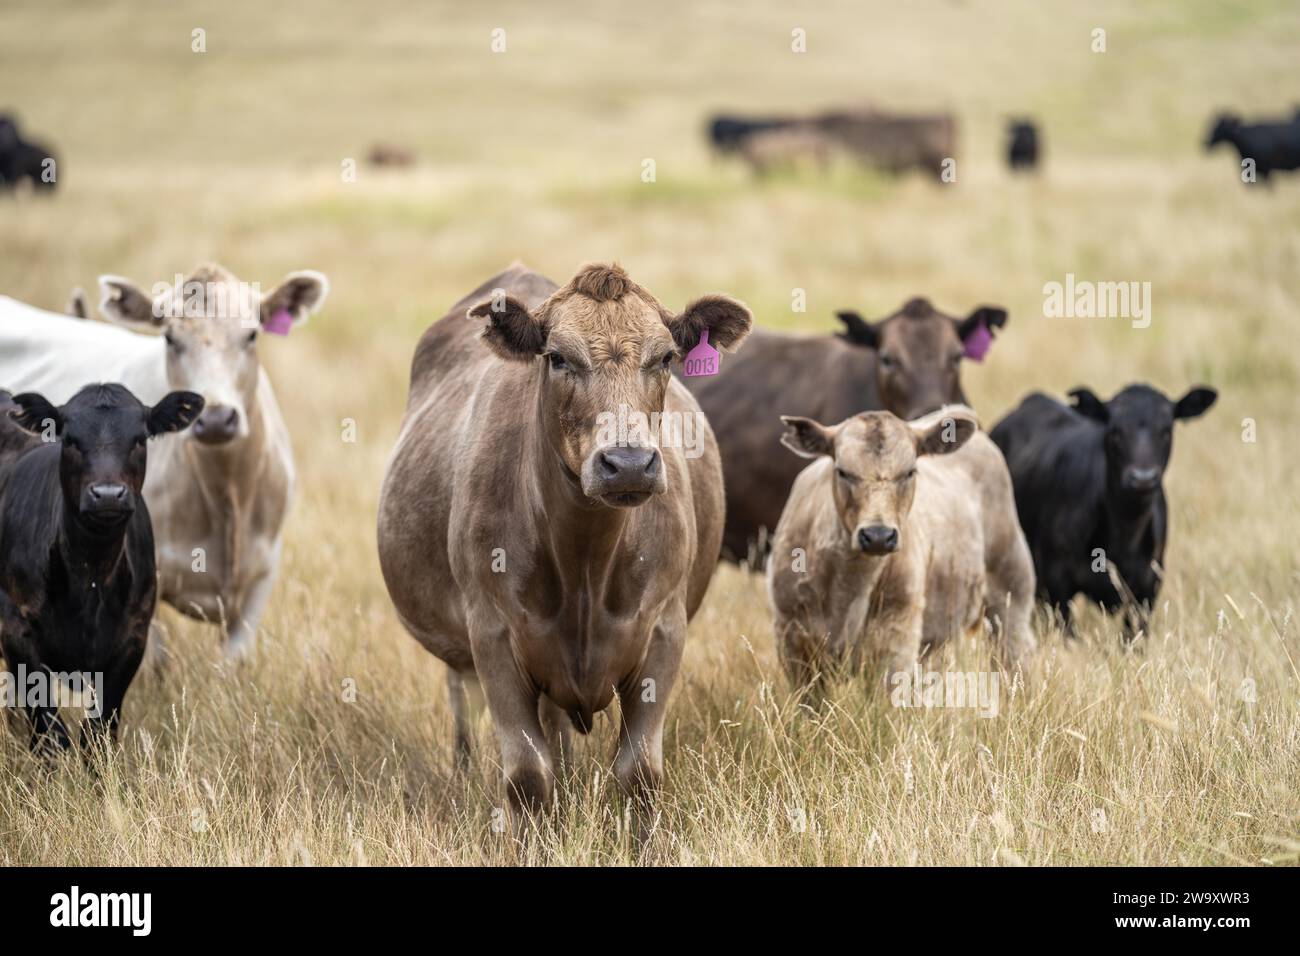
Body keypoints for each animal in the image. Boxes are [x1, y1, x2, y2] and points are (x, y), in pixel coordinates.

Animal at [0, 384, 202, 755]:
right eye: (69, 439)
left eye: (140, 438)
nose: (107, 494)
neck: (91, 575)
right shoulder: (16, 630)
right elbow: (50, 733)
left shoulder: (133, 637)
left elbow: (98, 732)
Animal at [377, 262, 751, 820]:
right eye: (557, 358)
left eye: (665, 357)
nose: (628, 463)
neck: (585, 565)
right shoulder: (492, 635)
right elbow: (529, 776)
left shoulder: (664, 629)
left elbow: (639, 772)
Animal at [767, 407, 1035, 707]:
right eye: (842, 472)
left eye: (909, 472)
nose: (878, 535)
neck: (846, 589)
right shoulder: (792, 636)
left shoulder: (895, 633)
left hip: (1011, 593)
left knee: (1015, 656)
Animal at [990, 384, 1217, 640]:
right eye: (1115, 431)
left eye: (1166, 430)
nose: (1143, 478)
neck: (1123, 536)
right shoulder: (1057, 584)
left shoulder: (1148, 588)